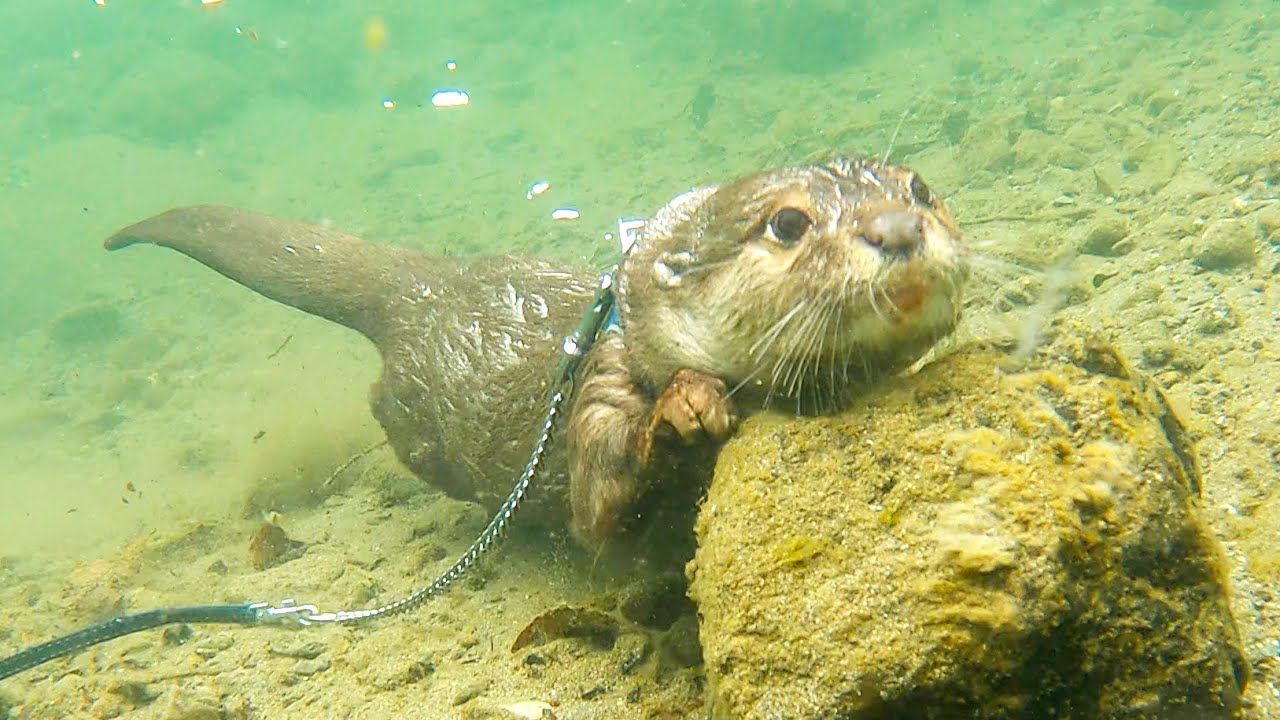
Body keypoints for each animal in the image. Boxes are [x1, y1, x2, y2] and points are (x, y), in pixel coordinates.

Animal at [104, 156, 966, 547]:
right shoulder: (600, 380)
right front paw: (687, 405)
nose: (898, 228)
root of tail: (424, 285)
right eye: (788, 224)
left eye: (921, 189)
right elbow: (598, 505)